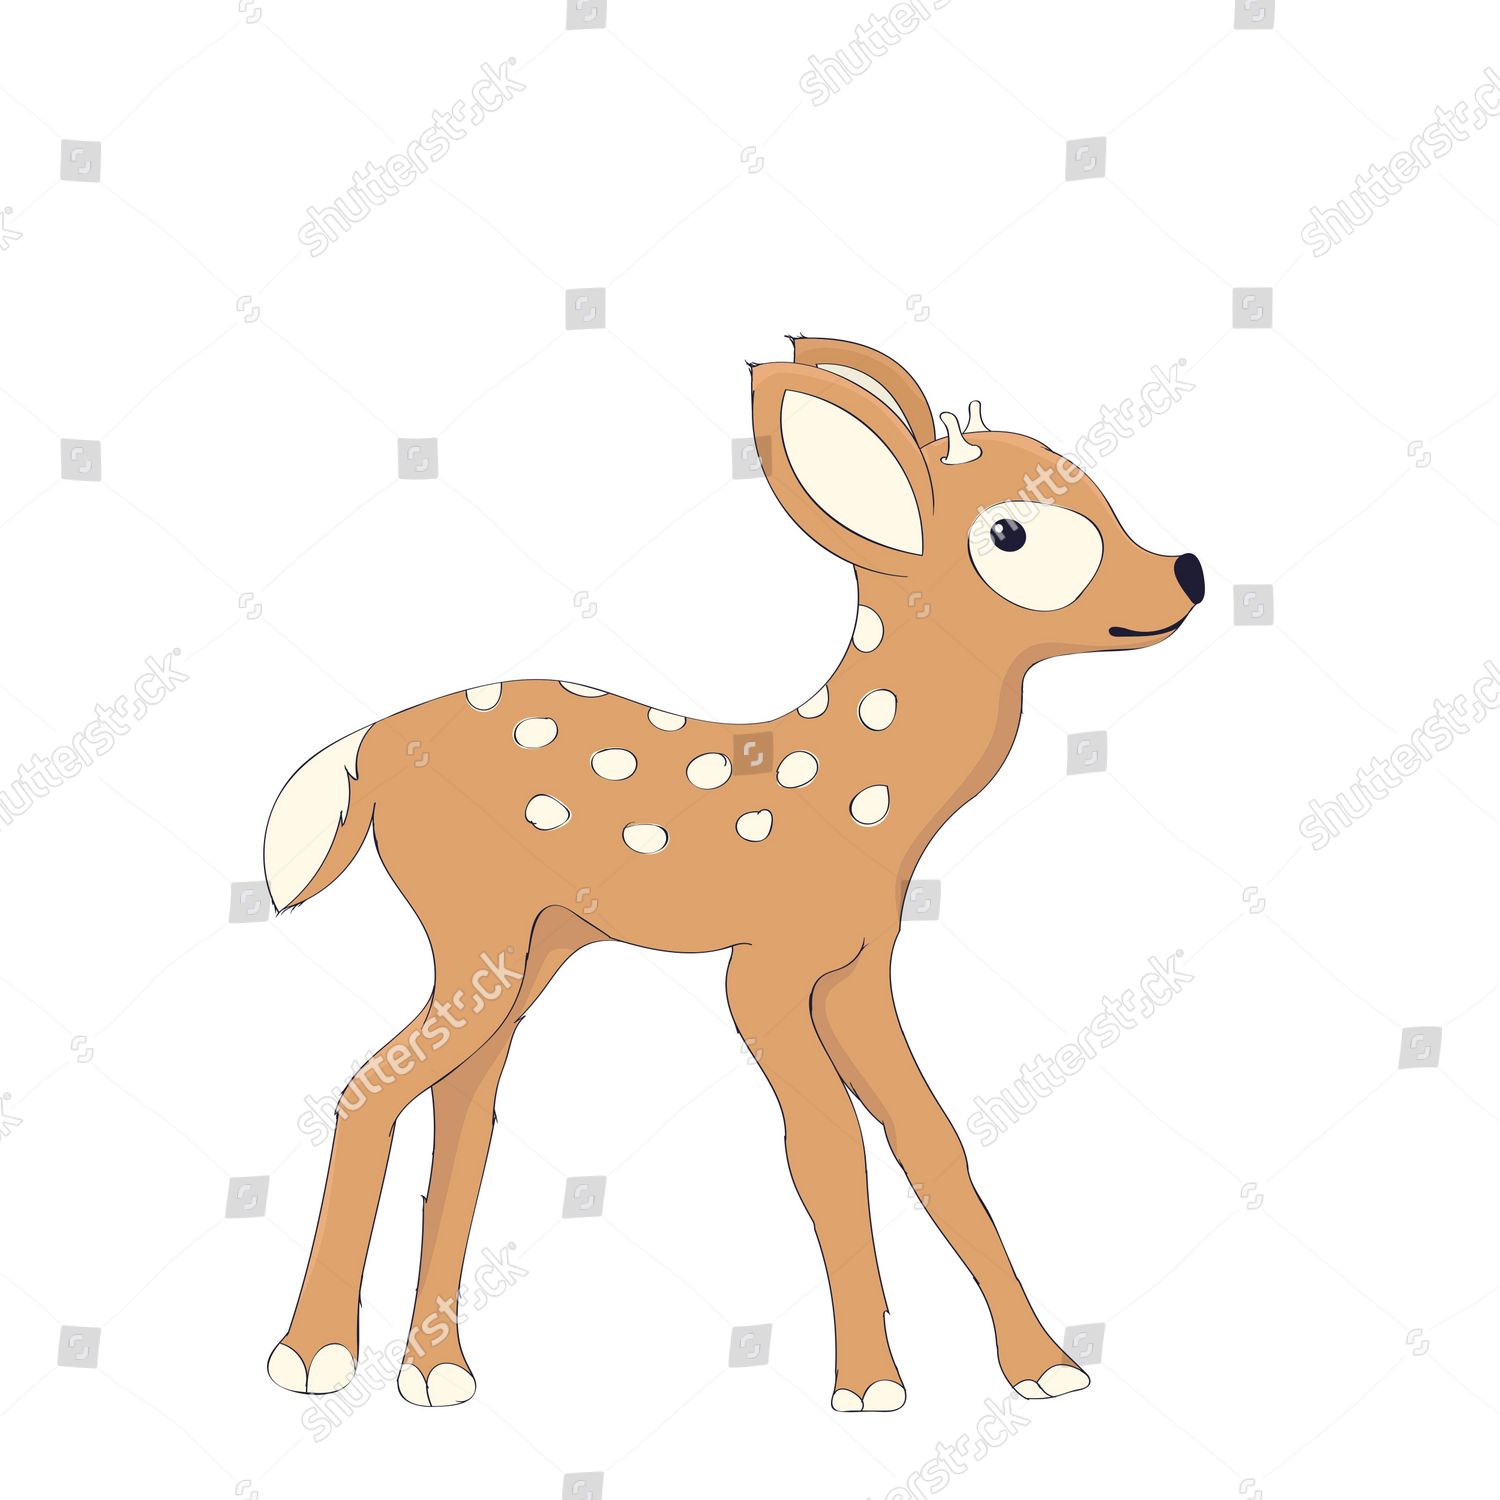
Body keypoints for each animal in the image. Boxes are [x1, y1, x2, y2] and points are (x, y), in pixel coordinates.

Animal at [263, 337, 1203, 1413]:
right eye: (1011, 531)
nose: (1187, 571)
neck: (860, 799)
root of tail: (370, 742)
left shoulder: (857, 970)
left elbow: (930, 1138)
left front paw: (1043, 1365)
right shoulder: (764, 970)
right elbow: (827, 1151)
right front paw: (869, 1383)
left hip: (528, 949)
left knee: (462, 1112)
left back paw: (436, 1370)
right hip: (478, 927)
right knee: (368, 1090)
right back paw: (311, 1357)